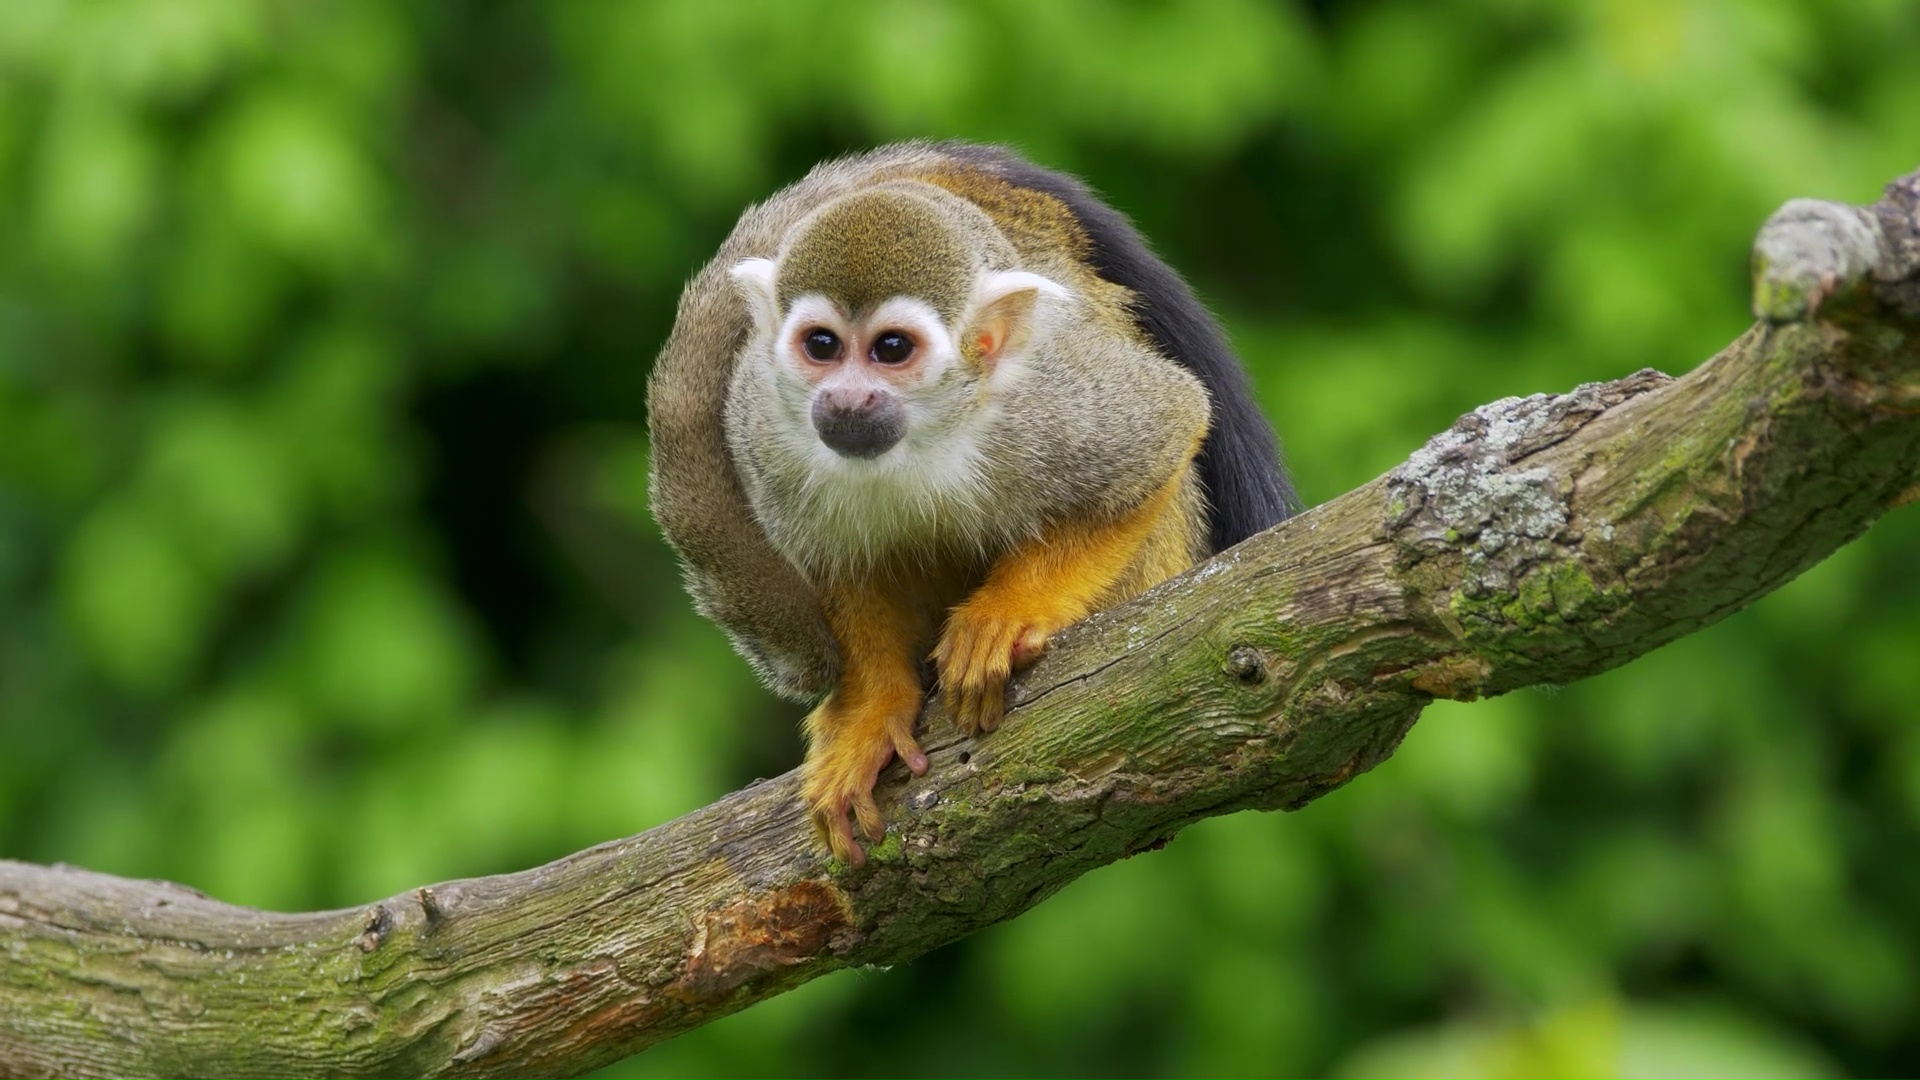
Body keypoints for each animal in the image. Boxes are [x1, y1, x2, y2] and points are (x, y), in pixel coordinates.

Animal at [648, 141, 1294, 866]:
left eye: (891, 349)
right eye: (822, 346)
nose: (845, 399)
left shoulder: (1048, 400)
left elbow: (1169, 424)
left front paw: (1010, 613)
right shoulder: (761, 423)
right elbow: (838, 566)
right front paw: (870, 711)